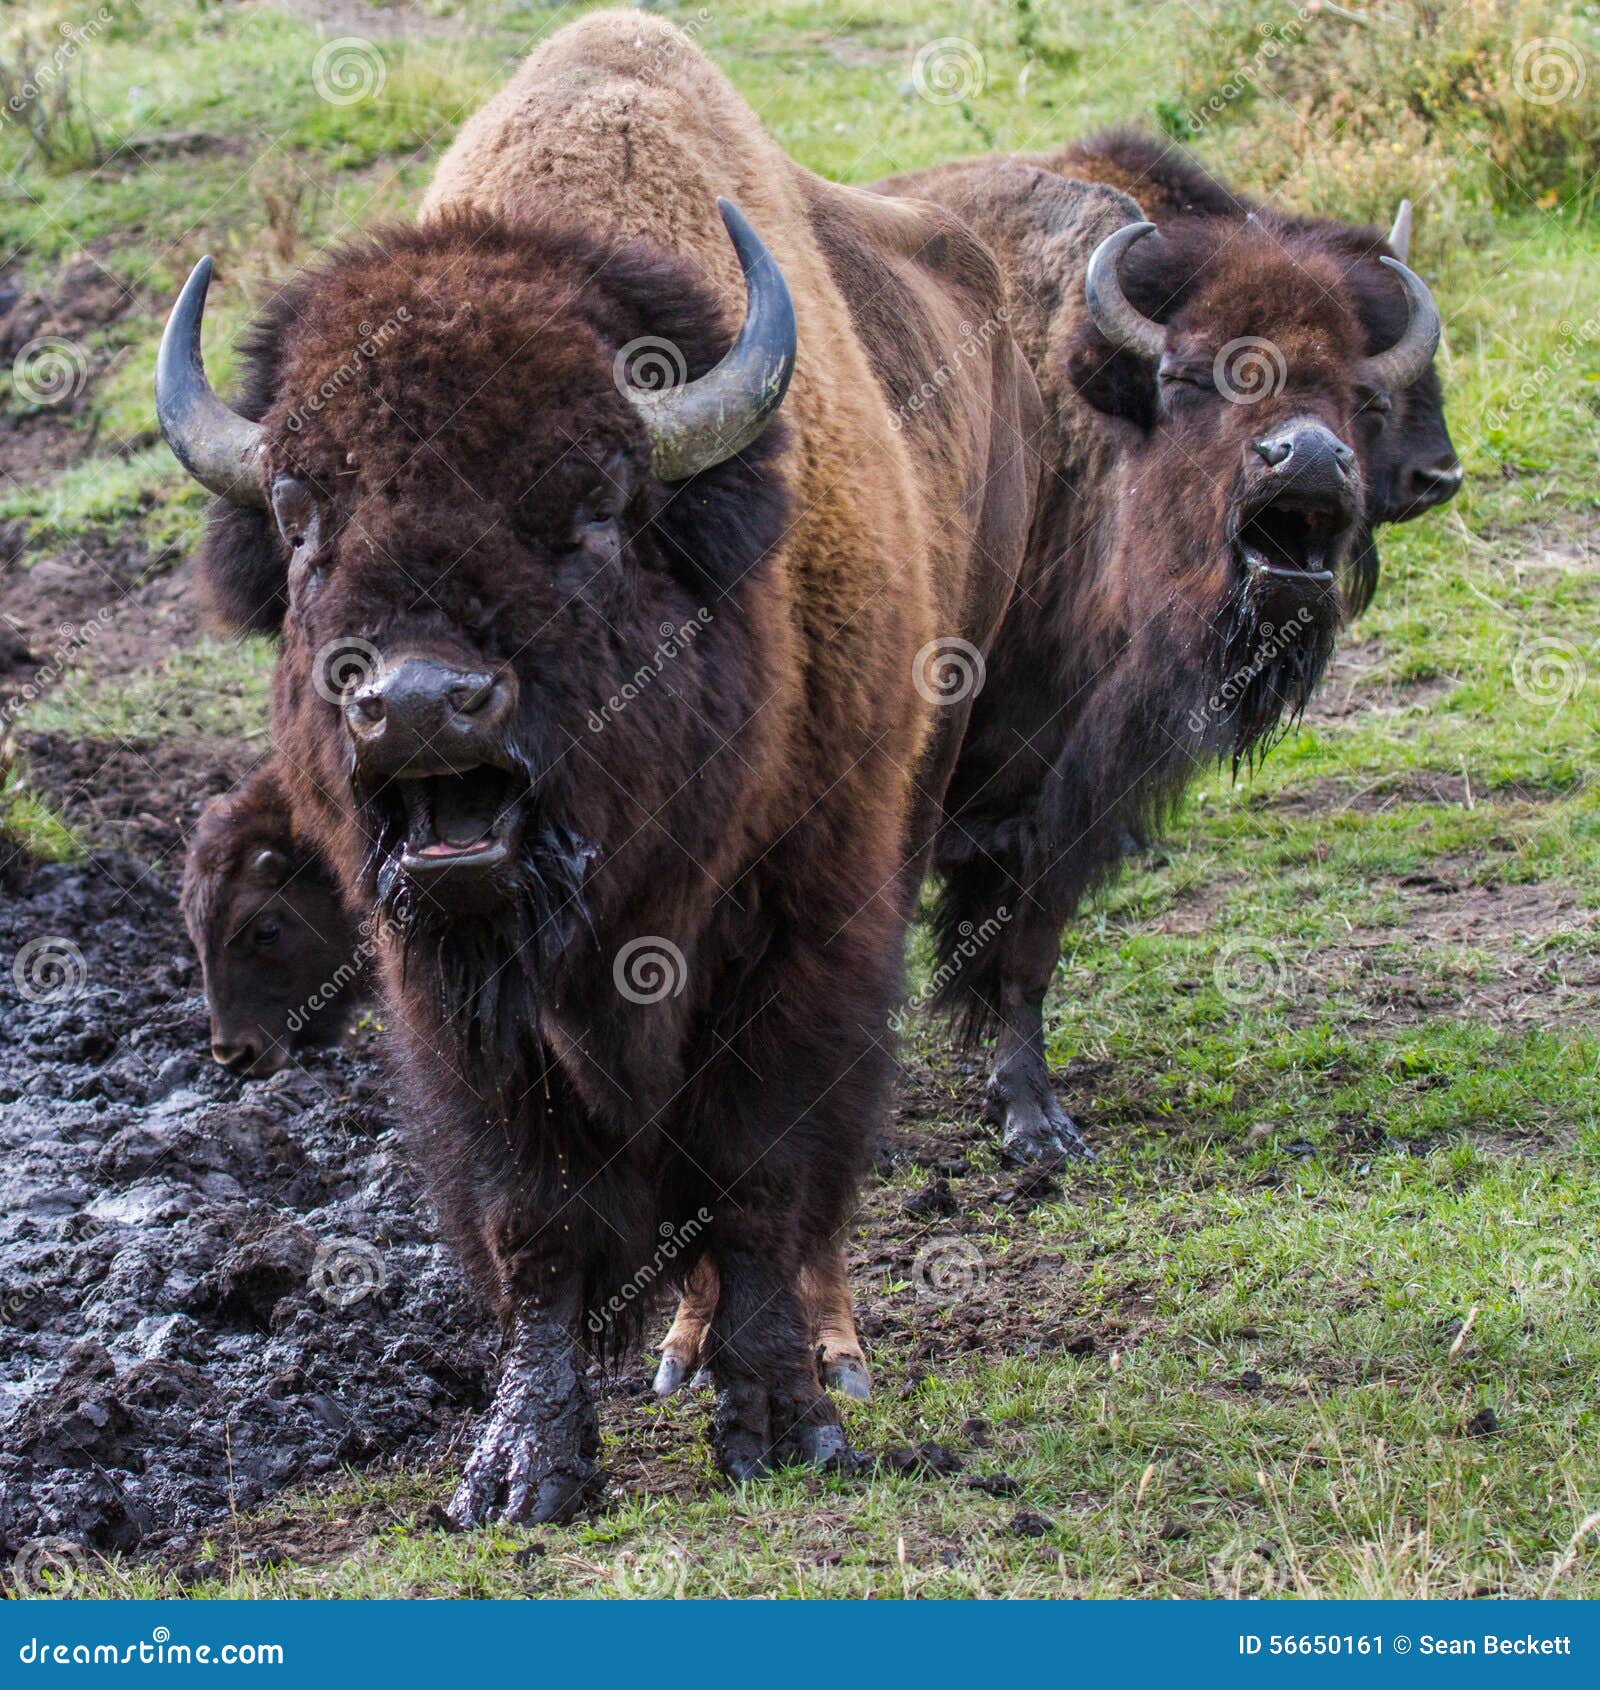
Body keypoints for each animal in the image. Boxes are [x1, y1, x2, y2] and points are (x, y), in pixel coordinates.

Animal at [156, 12, 1037, 1523]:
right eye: (300, 511)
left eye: (592, 506)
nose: (418, 703)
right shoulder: (455, 1005)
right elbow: (536, 1223)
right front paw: (519, 1474)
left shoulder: (799, 932)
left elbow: (761, 1173)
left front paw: (786, 1421)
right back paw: (677, 1355)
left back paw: (828, 1350)